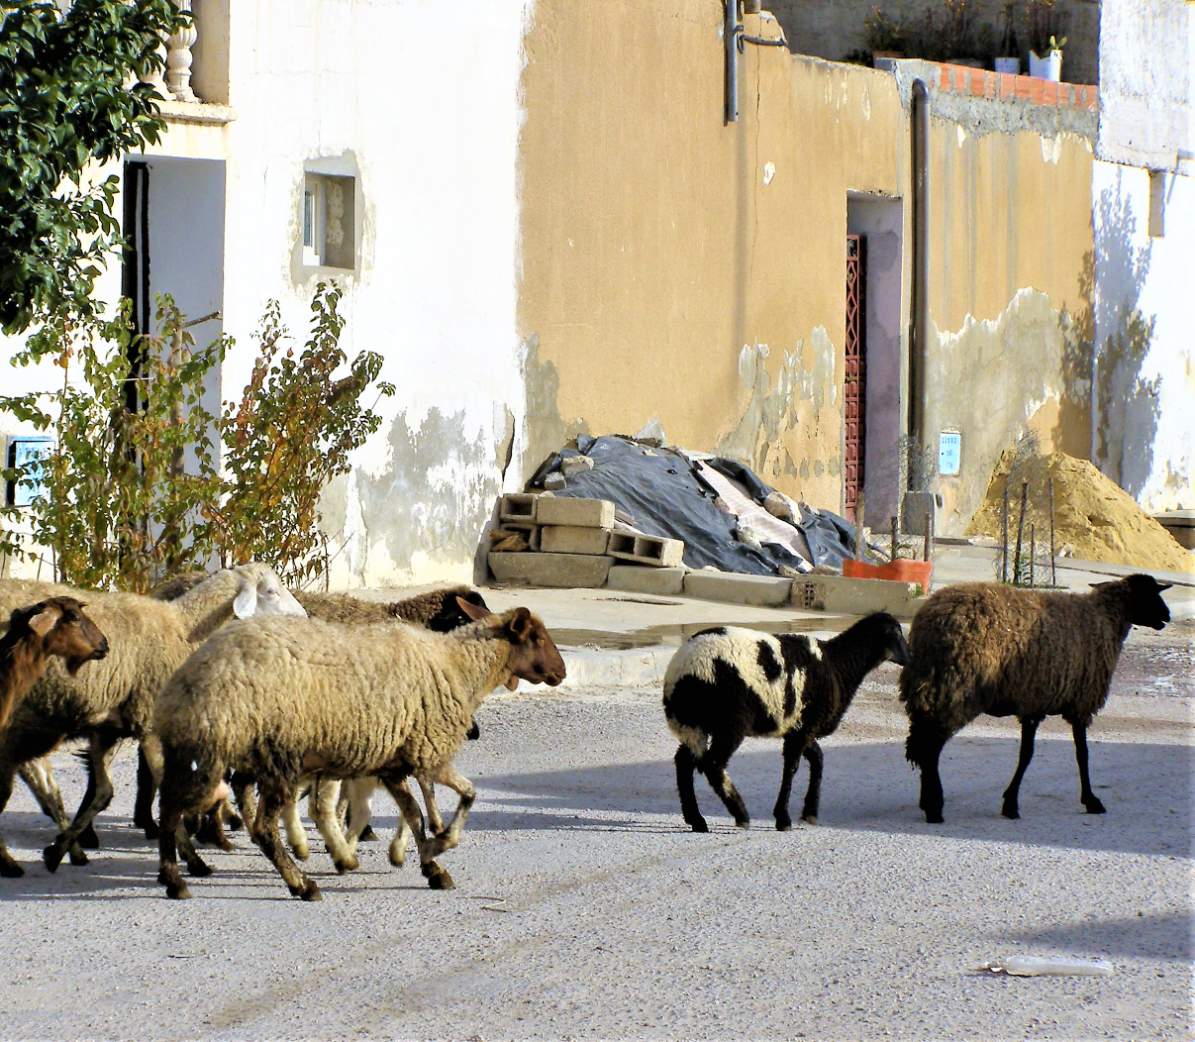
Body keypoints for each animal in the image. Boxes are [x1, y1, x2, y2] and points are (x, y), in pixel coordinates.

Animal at [155, 600, 566, 900]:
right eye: (538, 637)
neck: (458, 666)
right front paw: (442, 844)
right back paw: (299, 884)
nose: (561, 672)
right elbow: (467, 795)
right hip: (258, 755)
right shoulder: (429, 752)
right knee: (250, 825)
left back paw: (179, 874)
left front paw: (431, 866)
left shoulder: (394, 762)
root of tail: (188, 681)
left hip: (227, 755)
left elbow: (415, 815)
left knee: (174, 805)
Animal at [663, 613, 911, 833]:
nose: (910, 658)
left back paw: (696, 820)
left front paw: (810, 811)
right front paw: (783, 818)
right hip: (729, 723)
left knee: (684, 762)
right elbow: (791, 768)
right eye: (897, 634)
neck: (839, 665)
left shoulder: (800, 727)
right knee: (713, 764)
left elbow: (817, 759)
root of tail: (683, 668)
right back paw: (740, 814)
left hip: (693, 725)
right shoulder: (804, 727)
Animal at [900, 573, 1172, 824]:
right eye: (1151, 594)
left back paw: (926, 801)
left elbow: (1031, 754)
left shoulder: (1036, 702)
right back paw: (934, 808)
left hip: (927, 687)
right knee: (931, 747)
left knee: (921, 743)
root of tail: (932, 619)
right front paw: (1089, 800)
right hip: (955, 688)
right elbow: (1075, 754)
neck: (1105, 620)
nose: (1168, 616)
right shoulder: (1073, 703)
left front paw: (1011, 802)